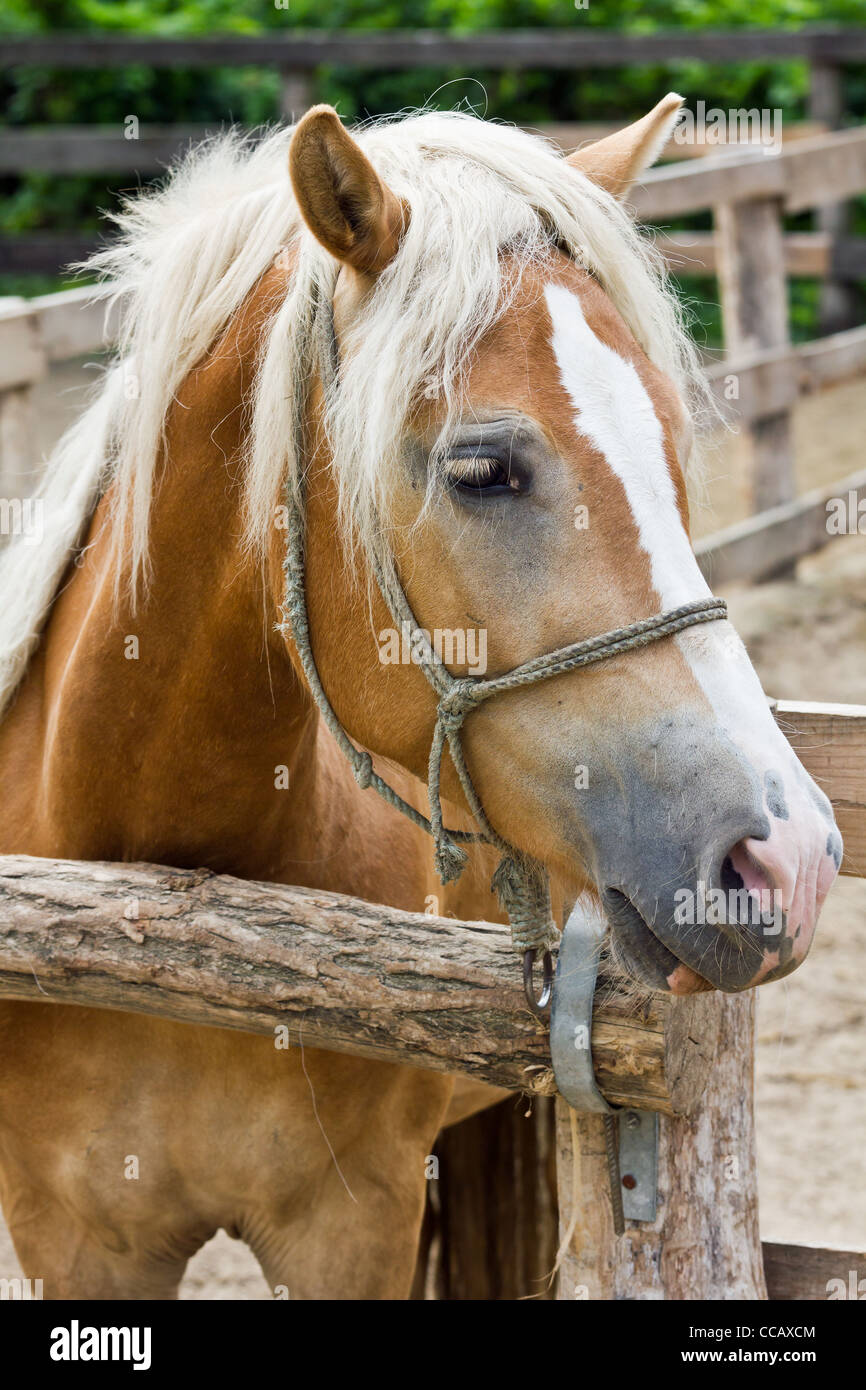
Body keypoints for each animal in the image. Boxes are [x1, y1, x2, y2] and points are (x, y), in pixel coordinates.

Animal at [0, 96, 841, 1300]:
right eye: (481, 469)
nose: (786, 857)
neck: (153, 899)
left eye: (672, 444)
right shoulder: (77, 1242)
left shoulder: (354, 1226)